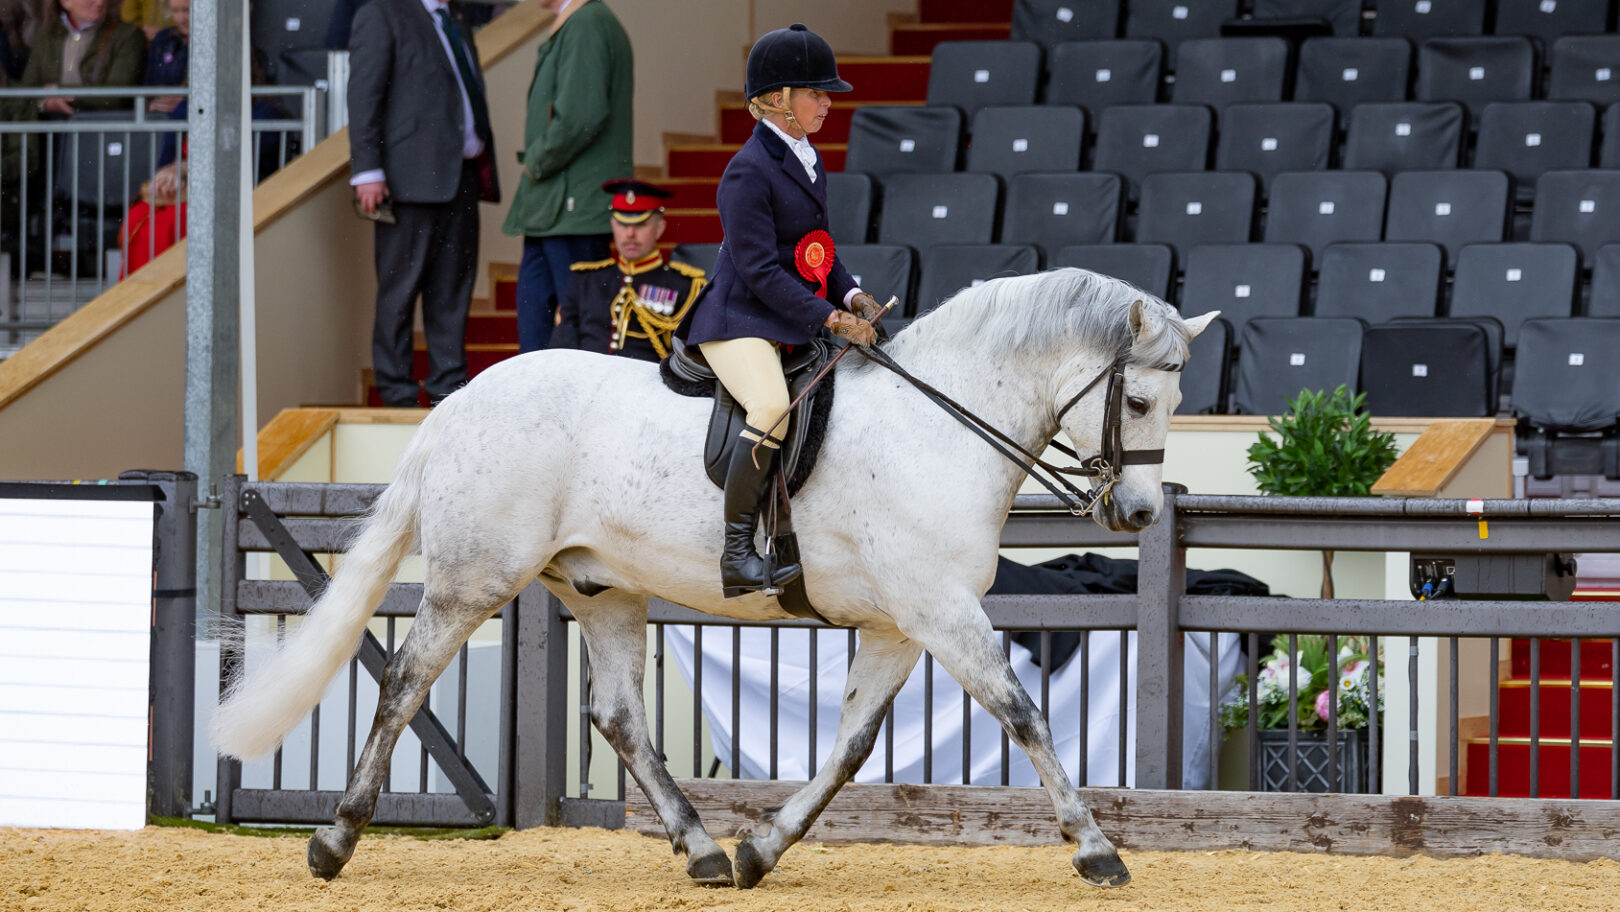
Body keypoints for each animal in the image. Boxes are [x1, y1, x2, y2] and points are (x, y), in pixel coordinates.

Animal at [212, 267, 1217, 890]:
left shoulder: (900, 624)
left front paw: (762, 849)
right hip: (475, 578)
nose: (1137, 515)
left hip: (604, 590)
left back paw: (699, 849)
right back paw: (333, 840)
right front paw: (1096, 851)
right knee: (406, 680)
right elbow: (1022, 714)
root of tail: (457, 401)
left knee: (618, 716)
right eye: (1136, 398)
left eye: (1179, 400)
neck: (941, 424)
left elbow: (851, 747)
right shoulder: (939, 608)